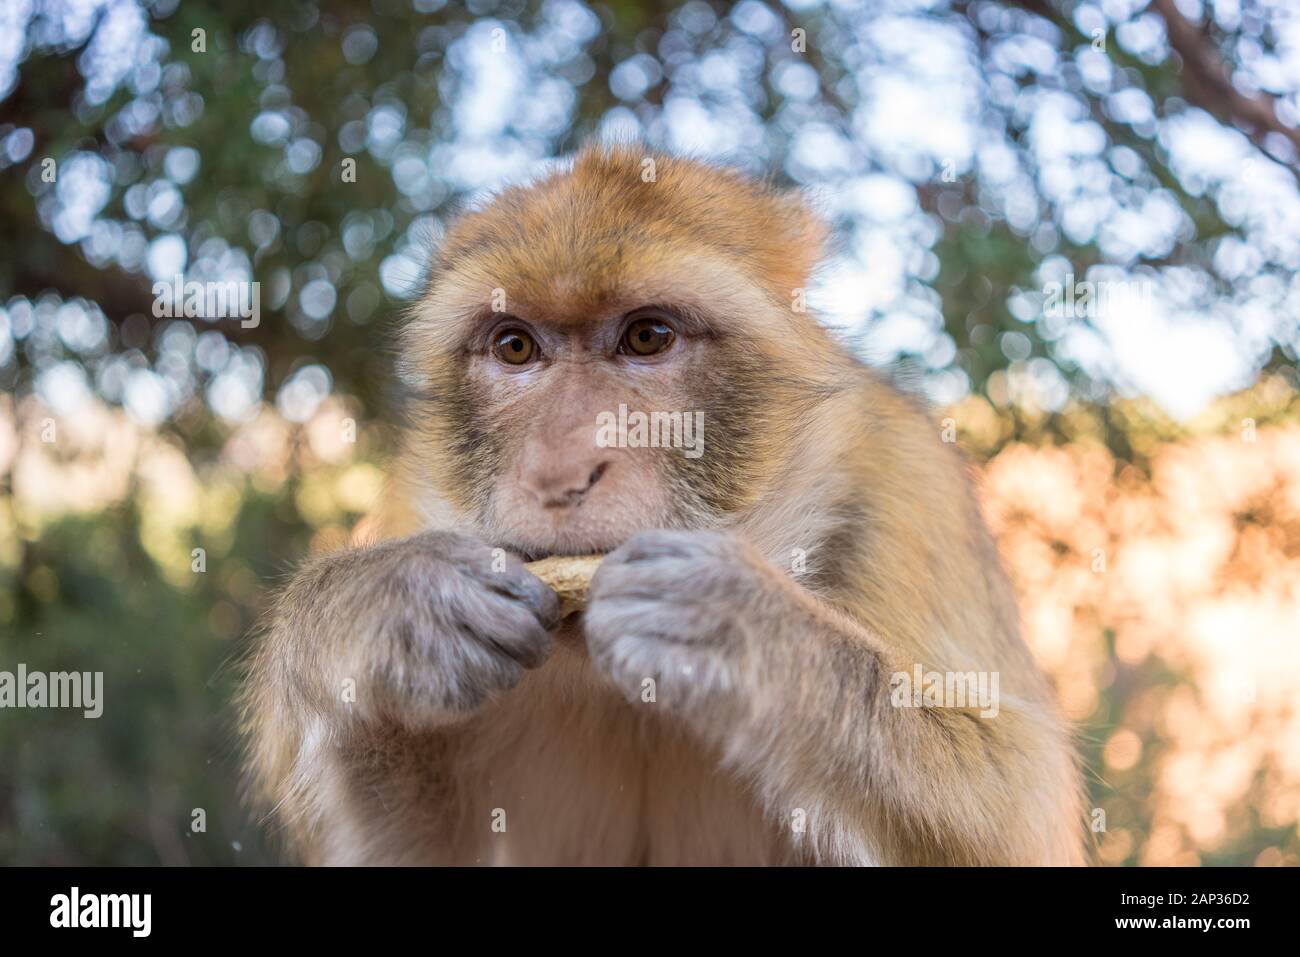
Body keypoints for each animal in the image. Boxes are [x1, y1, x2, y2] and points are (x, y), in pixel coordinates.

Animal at [239, 144, 1084, 866]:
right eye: (515, 346)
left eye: (647, 338)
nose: (560, 472)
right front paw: (392, 608)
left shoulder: (906, 491)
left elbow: (1020, 807)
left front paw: (744, 630)